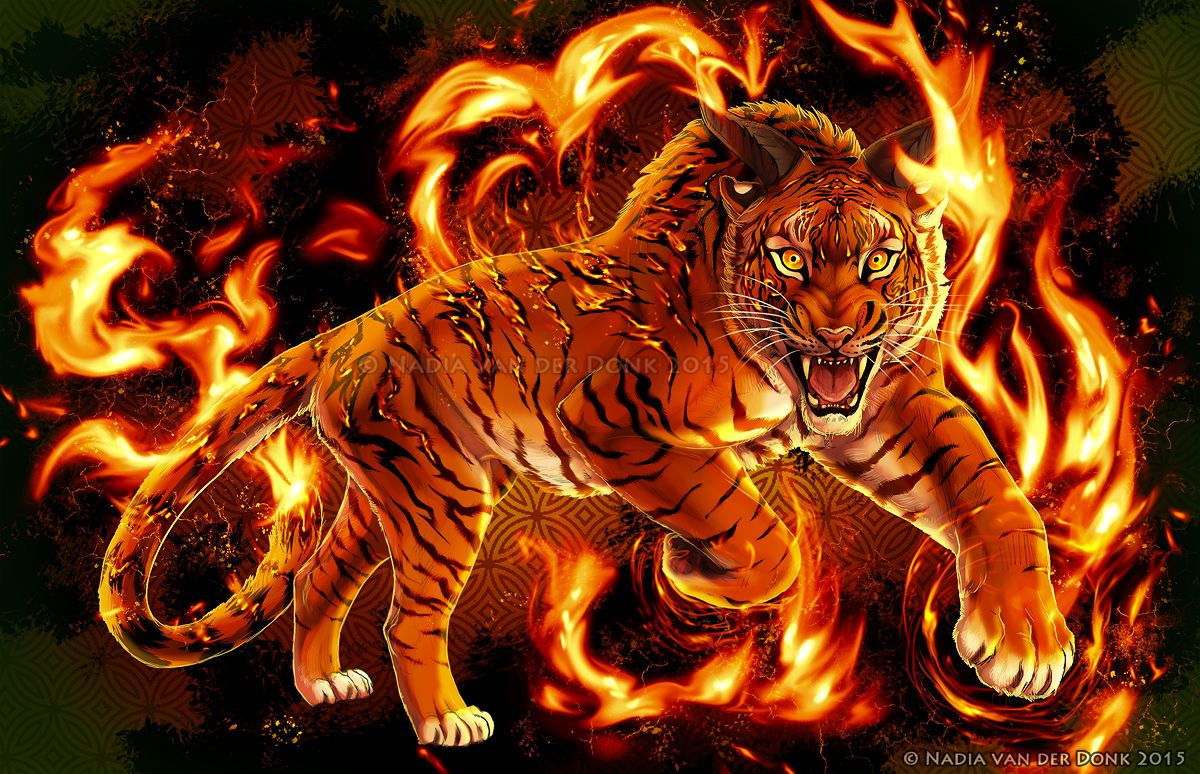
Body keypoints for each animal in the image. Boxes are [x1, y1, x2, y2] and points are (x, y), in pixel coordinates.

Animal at [99, 98, 1076, 746]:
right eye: (792, 260)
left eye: (879, 259)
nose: (837, 331)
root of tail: (356, 325)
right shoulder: (619, 423)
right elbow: (755, 531)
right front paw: (692, 569)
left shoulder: (886, 406)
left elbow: (992, 490)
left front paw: (1025, 642)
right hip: (439, 499)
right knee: (408, 616)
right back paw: (447, 719)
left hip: (399, 495)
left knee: (320, 577)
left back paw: (323, 683)